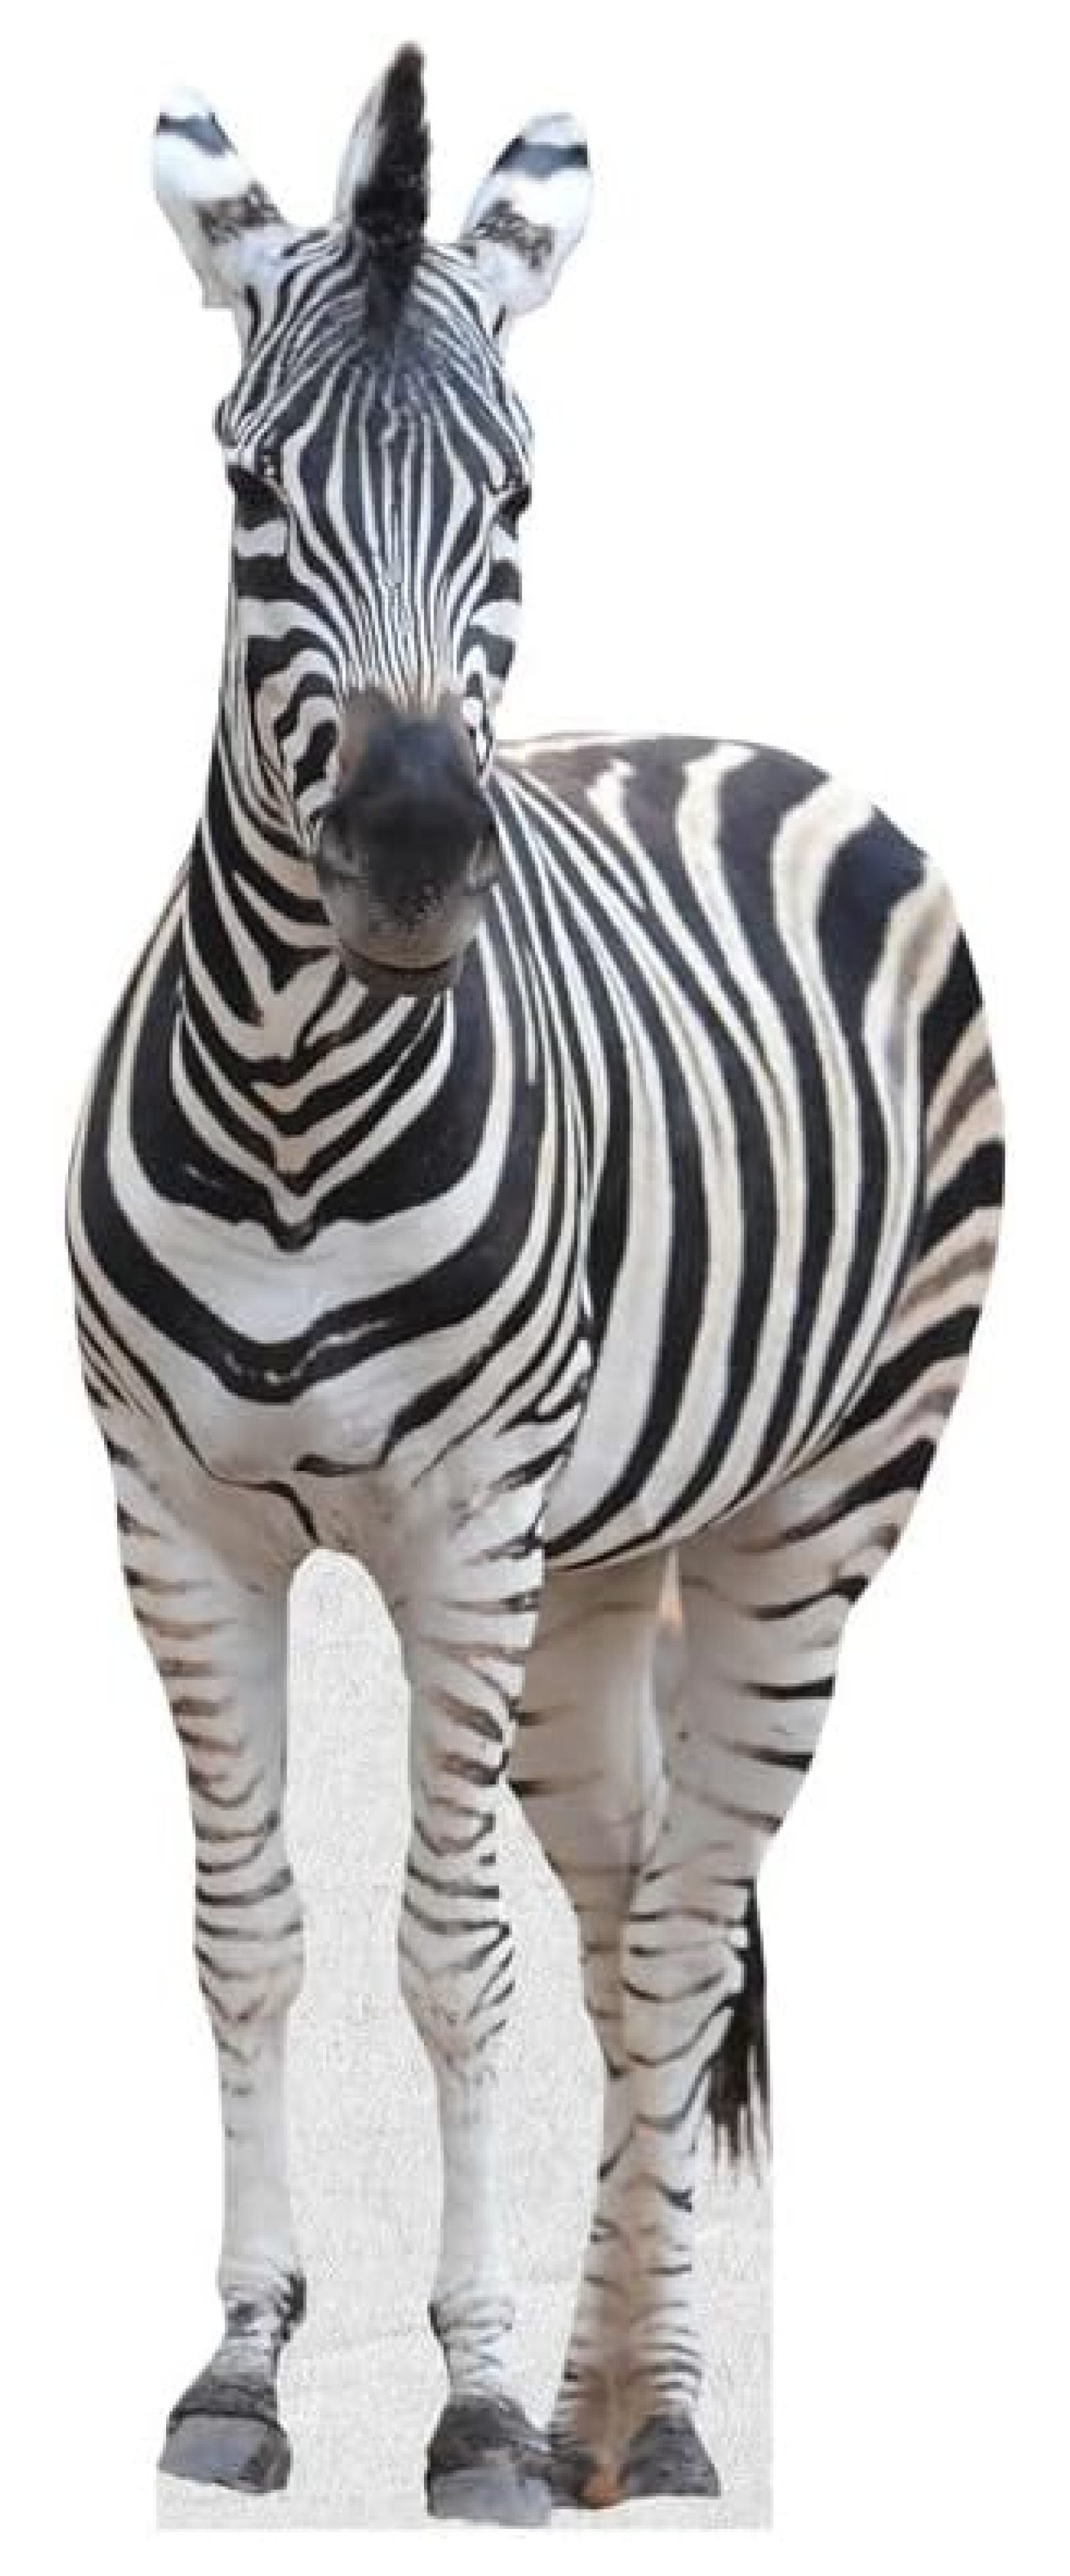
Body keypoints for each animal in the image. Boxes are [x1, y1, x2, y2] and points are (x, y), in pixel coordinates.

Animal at [66, 45, 1003, 2526]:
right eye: (248, 490)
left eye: (511, 497)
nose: (411, 849)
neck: (298, 1103)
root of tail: (748, 740)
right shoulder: (181, 1527)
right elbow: (254, 1937)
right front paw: (245, 2369)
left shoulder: (458, 1532)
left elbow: (448, 1958)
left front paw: (469, 2404)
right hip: (603, 1562)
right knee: (631, 1916)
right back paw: (602, 2400)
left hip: (811, 1518)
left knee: (671, 1946)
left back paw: (646, 2413)